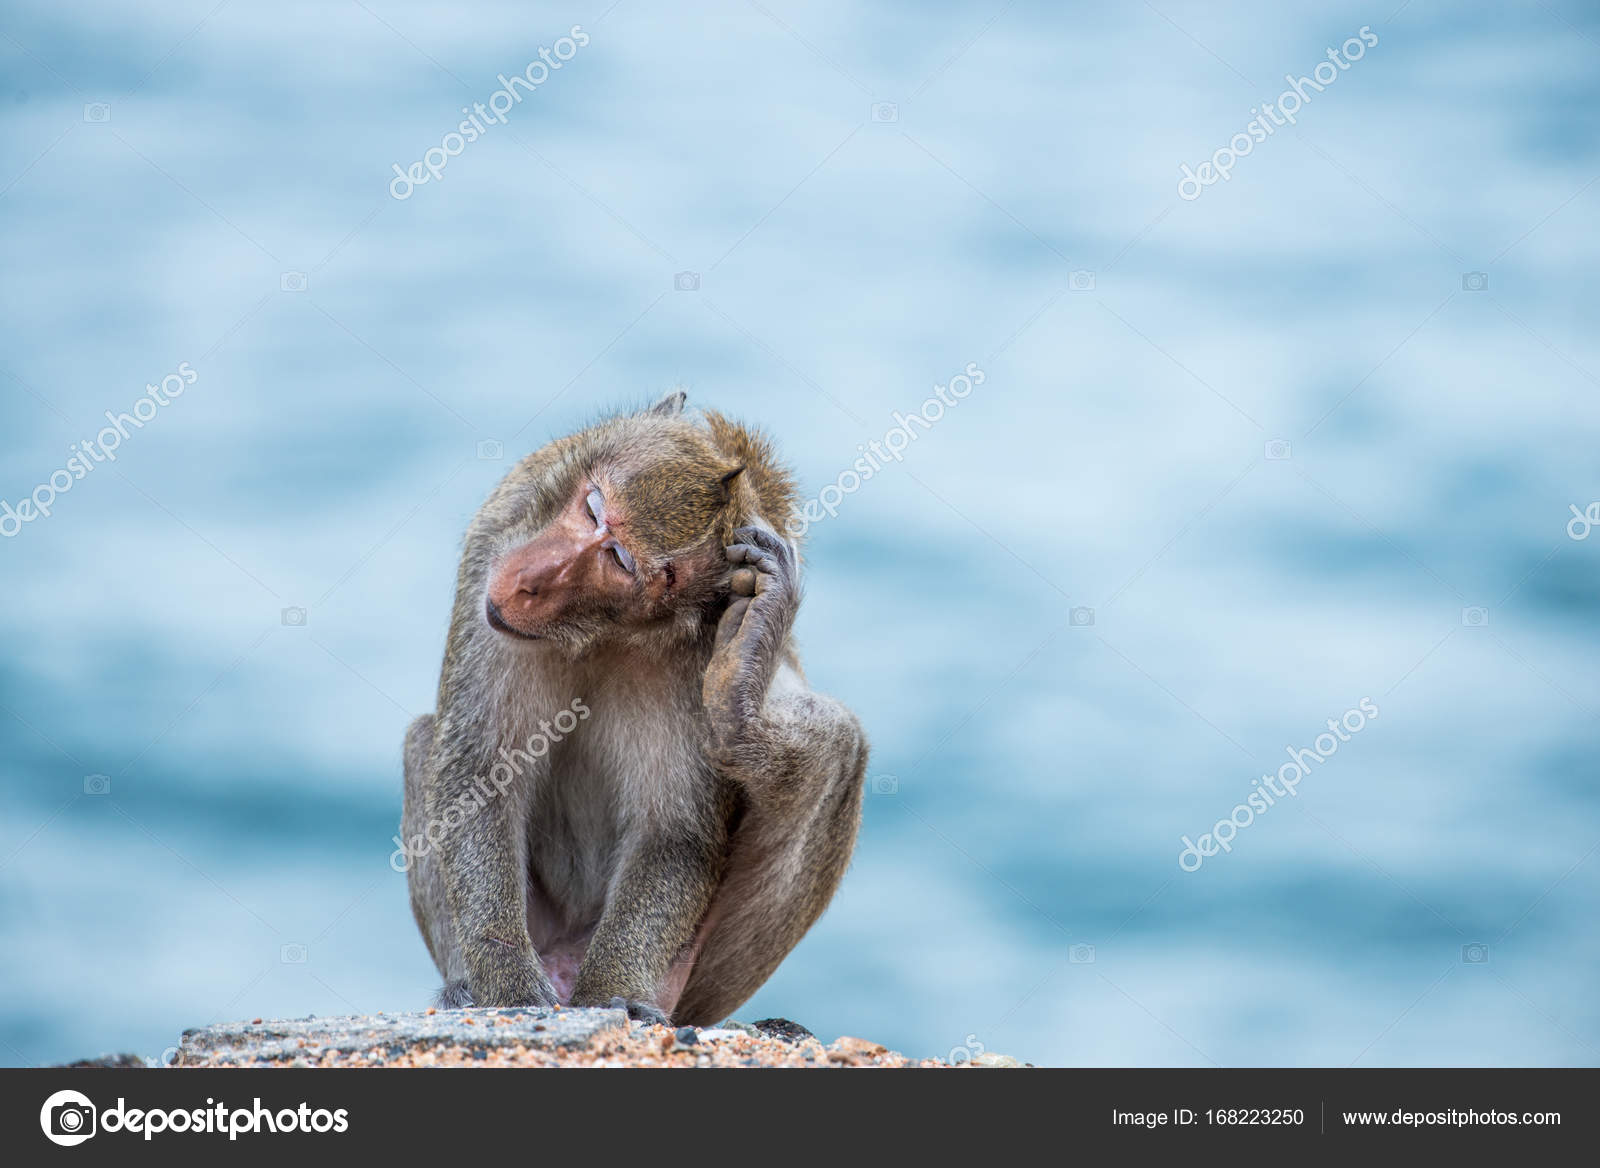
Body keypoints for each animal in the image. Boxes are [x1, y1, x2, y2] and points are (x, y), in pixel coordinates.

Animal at [399, 390, 867, 1026]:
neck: (601, 632)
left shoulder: (697, 657)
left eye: (619, 559)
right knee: (425, 739)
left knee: (840, 744)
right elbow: (481, 775)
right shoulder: (492, 544)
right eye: (593, 508)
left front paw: (612, 992)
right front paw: (506, 981)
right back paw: (468, 986)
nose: (529, 581)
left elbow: (673, 832)